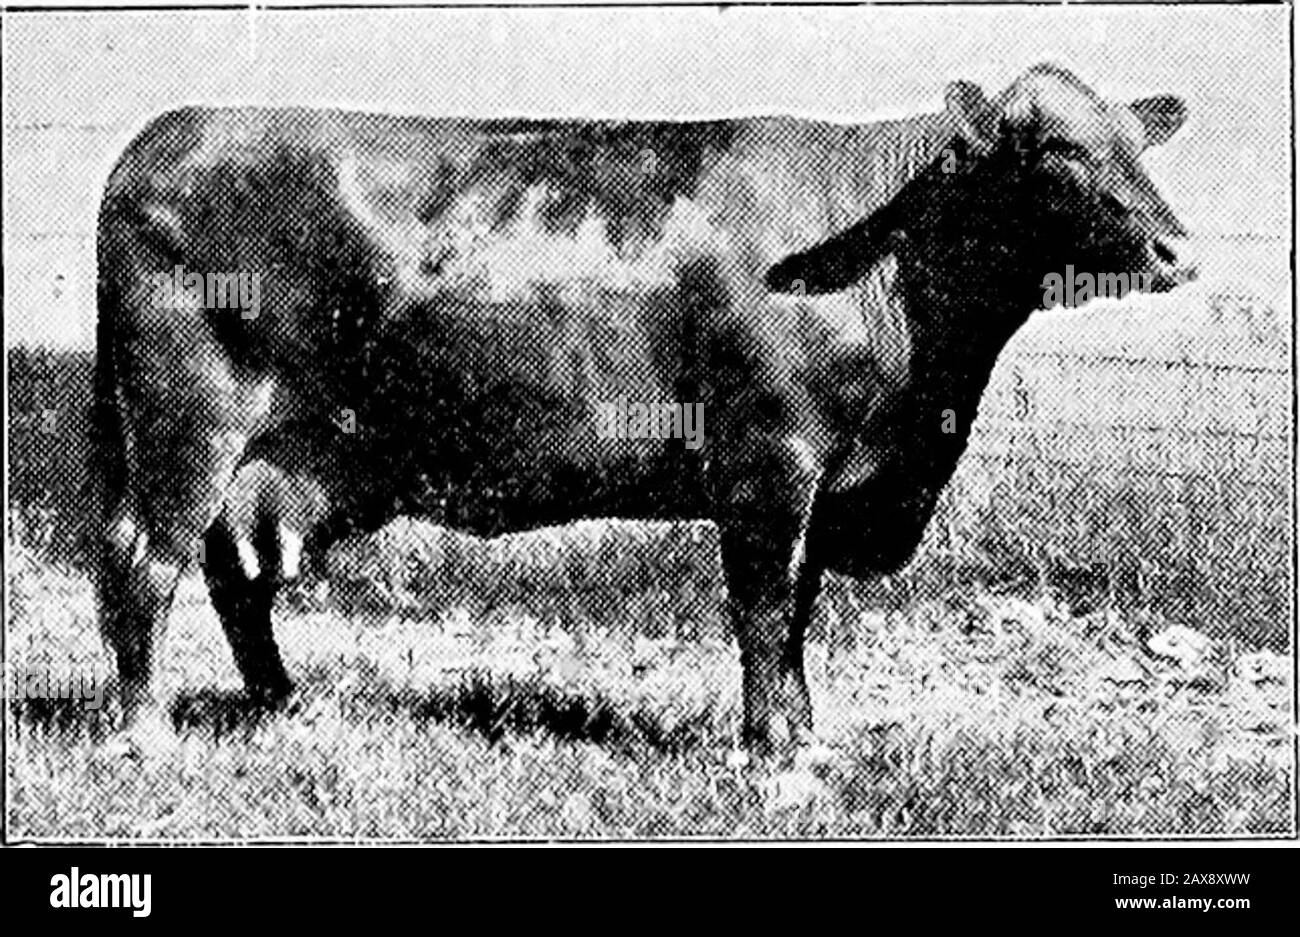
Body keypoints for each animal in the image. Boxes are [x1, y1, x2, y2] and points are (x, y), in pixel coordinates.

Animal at [91, 64, 1194, 756]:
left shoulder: (822, 483)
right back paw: (146, 732)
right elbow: (762, 609)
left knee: (234, 577)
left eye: (1138, 143)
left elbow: (796, 613)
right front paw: (773, 757)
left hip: (260, 454)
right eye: (1056, 149)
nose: (1178, 248)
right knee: (146, 563)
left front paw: (804, 736)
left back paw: (284, 705)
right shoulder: (768, 461)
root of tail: (163, 134)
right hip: (190, 424)